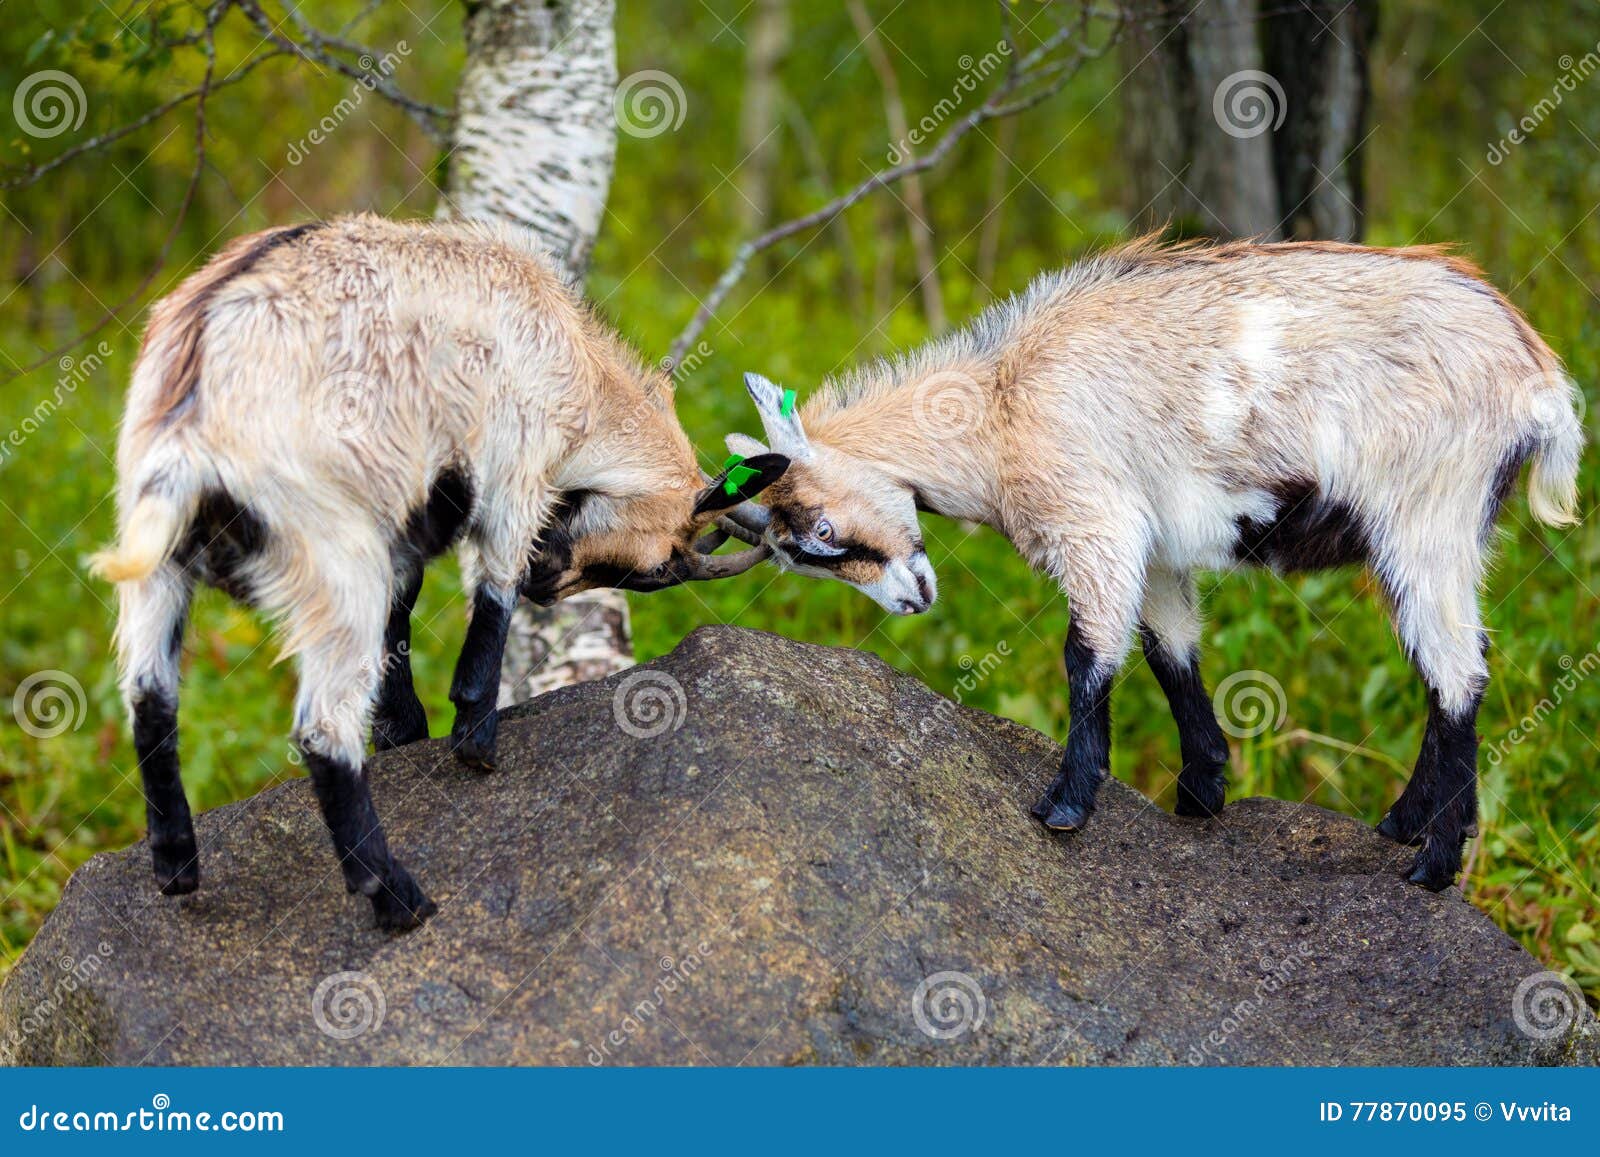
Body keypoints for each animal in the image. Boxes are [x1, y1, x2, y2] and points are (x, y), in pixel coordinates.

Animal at [91, 214, 788, 930]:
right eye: (656, 568)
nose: (547, 585)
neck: (580, 374)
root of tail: (194, 415)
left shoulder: (407, 518)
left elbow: (404, 609)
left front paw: (405, 732)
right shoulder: (513, 475)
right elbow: (493, 594)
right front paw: (475, 741)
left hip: (154, 551)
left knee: (149, 695)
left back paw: (177, 869)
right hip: (333, 555)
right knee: (321, 727)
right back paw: (399, 900)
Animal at [726, 235, 1583, 892]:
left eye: (824, 529)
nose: (911, 599)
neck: (999, 403)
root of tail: (1536, 369)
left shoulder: (1097, 522)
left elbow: (1088, 655)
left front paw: (1065, 805)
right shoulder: (1160, 545)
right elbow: (1170, 649)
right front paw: (1202, 790)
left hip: (1426, 511)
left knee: (1457, 671)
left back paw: (1433, 863)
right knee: (1449, 661)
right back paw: (1405, 824)